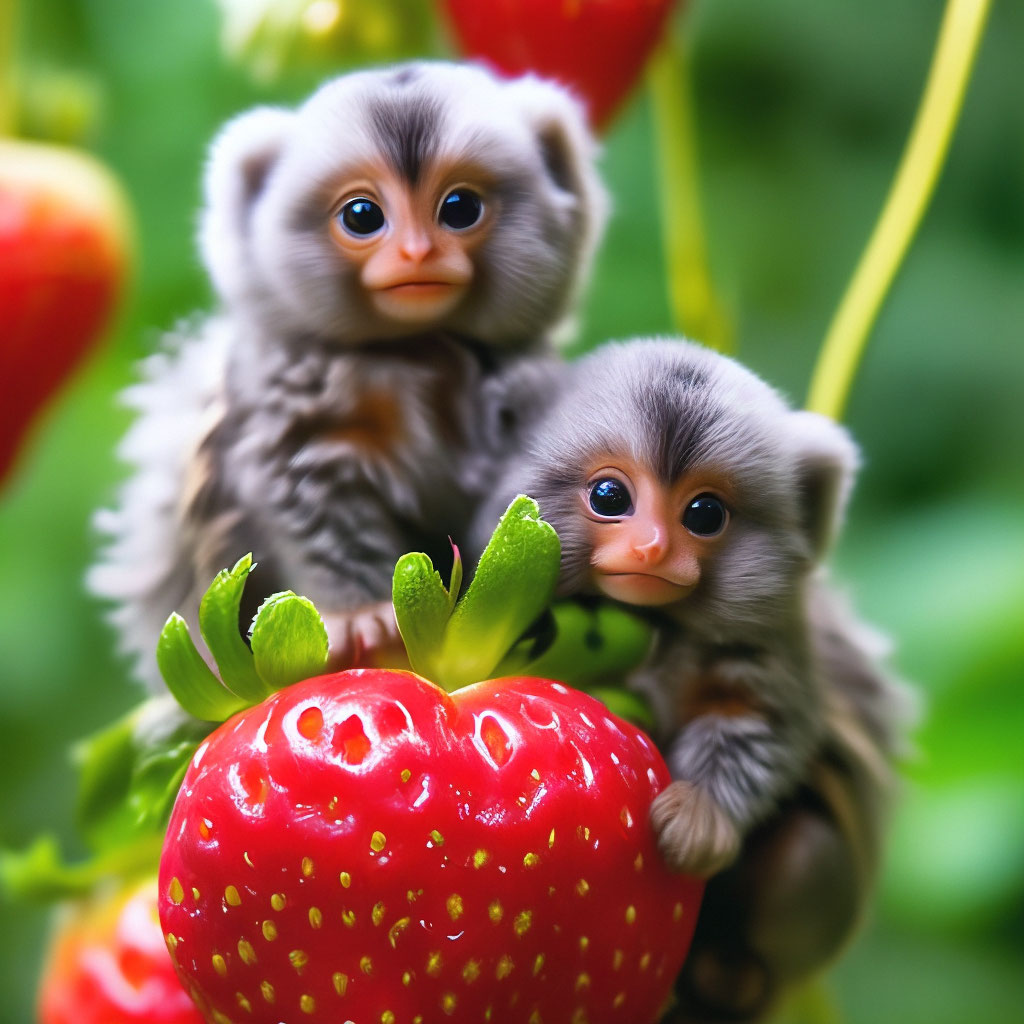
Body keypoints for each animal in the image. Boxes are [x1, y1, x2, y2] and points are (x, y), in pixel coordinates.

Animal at [88, 60, 606, 688]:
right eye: (362, 216)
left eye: (460, 208)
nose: (416, 253)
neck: (415, 351)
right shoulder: (285, 405)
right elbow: (308, 503)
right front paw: (360, 611)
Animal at [473, 336, 913, 1021]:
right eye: (609, 497)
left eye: (705, 513)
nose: (652, 547)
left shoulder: (771, 643)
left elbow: (755, 721)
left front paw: (701, 815)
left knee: (805, 853)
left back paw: (729, 978)